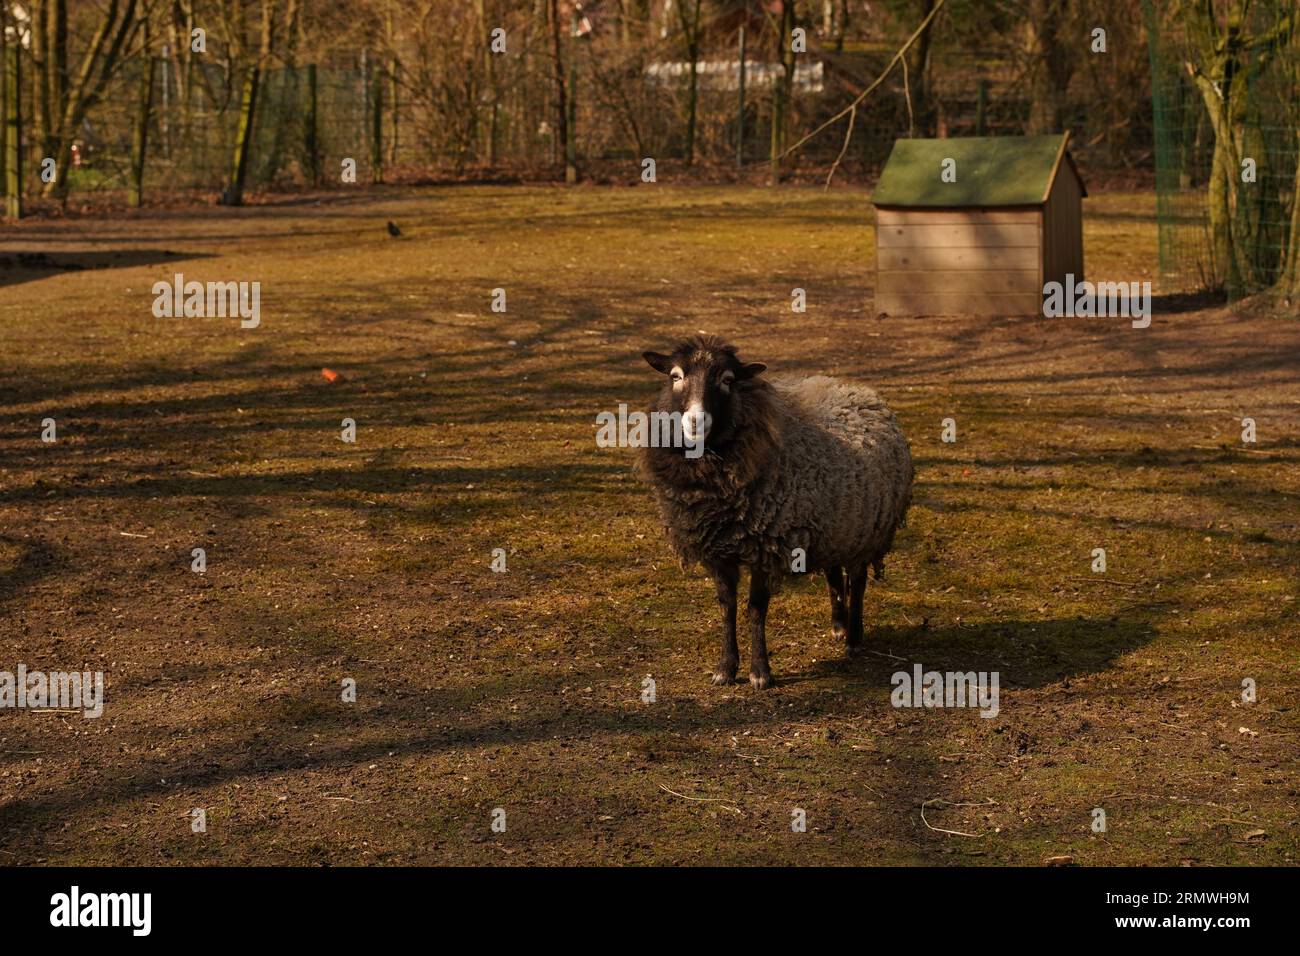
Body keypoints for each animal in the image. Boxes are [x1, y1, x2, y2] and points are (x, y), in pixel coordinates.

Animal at [638, 334, 913, 689]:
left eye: (728, 380)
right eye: (675, 376)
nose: (695, 421)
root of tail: (851, 386)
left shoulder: (765, 547)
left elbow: (756, 609)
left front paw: (760, 673)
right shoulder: (716, 549)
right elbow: (726, 607)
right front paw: (725, 668)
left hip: (866, 532)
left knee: (858, 580)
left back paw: (853, 637)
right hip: (836, 526)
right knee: (833, 573)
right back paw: (838, 625)